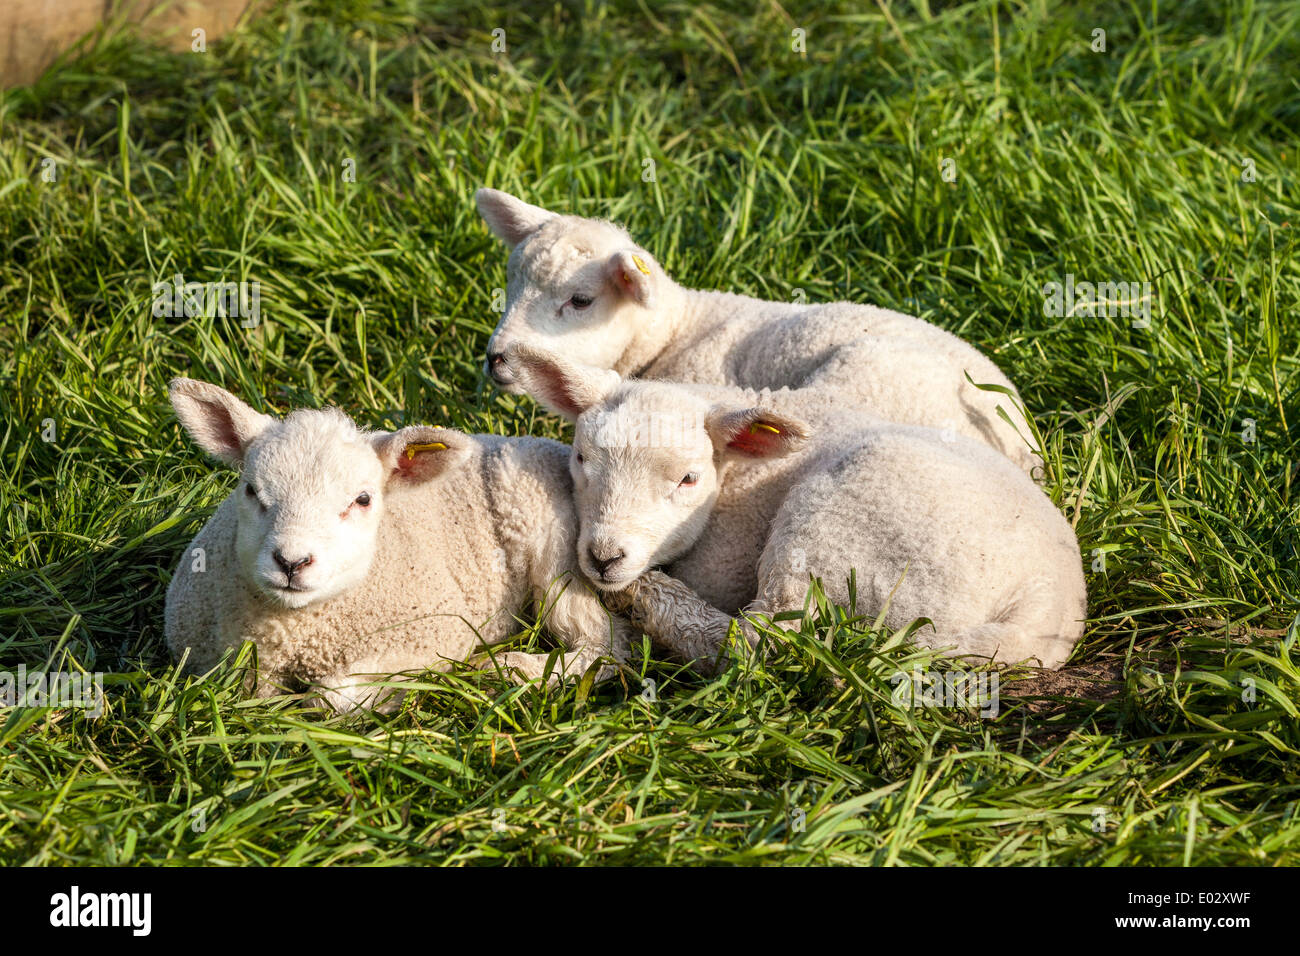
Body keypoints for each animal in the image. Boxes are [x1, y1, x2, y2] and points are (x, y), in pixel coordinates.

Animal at [163, 378, 630, 712]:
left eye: (363, 499)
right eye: (251, 490)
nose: (292, 562)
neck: (300, 633)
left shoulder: (431, 635)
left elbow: (332, 696)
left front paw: (391, 695)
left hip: (558, 550)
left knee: (606, 645)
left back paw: (514, 669)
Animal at [507, 344, 1087, 674]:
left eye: (689, 479)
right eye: (581, 458)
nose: (604, 558)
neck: (738, 474)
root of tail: (1044, 611)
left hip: (837, 524)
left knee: (762, 644)